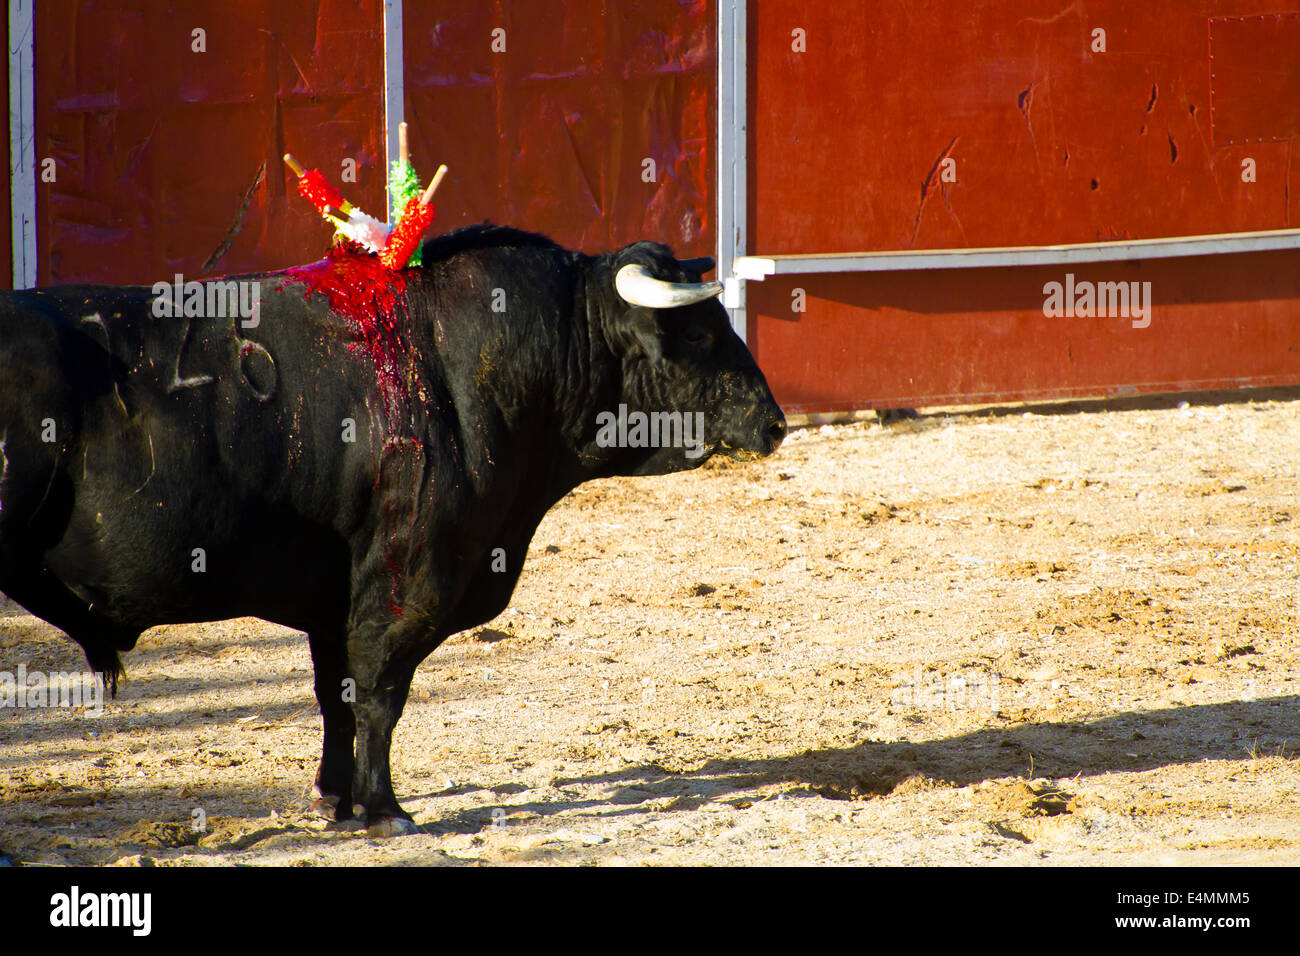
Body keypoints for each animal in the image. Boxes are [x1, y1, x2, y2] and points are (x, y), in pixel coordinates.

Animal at [0, 225, 785, 834]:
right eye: (699, 334)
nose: (775, 424)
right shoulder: (410, 578)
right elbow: (380, 691)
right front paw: (383, 810)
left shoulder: (333, 595)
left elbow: (337, 695)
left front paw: (334, 798)